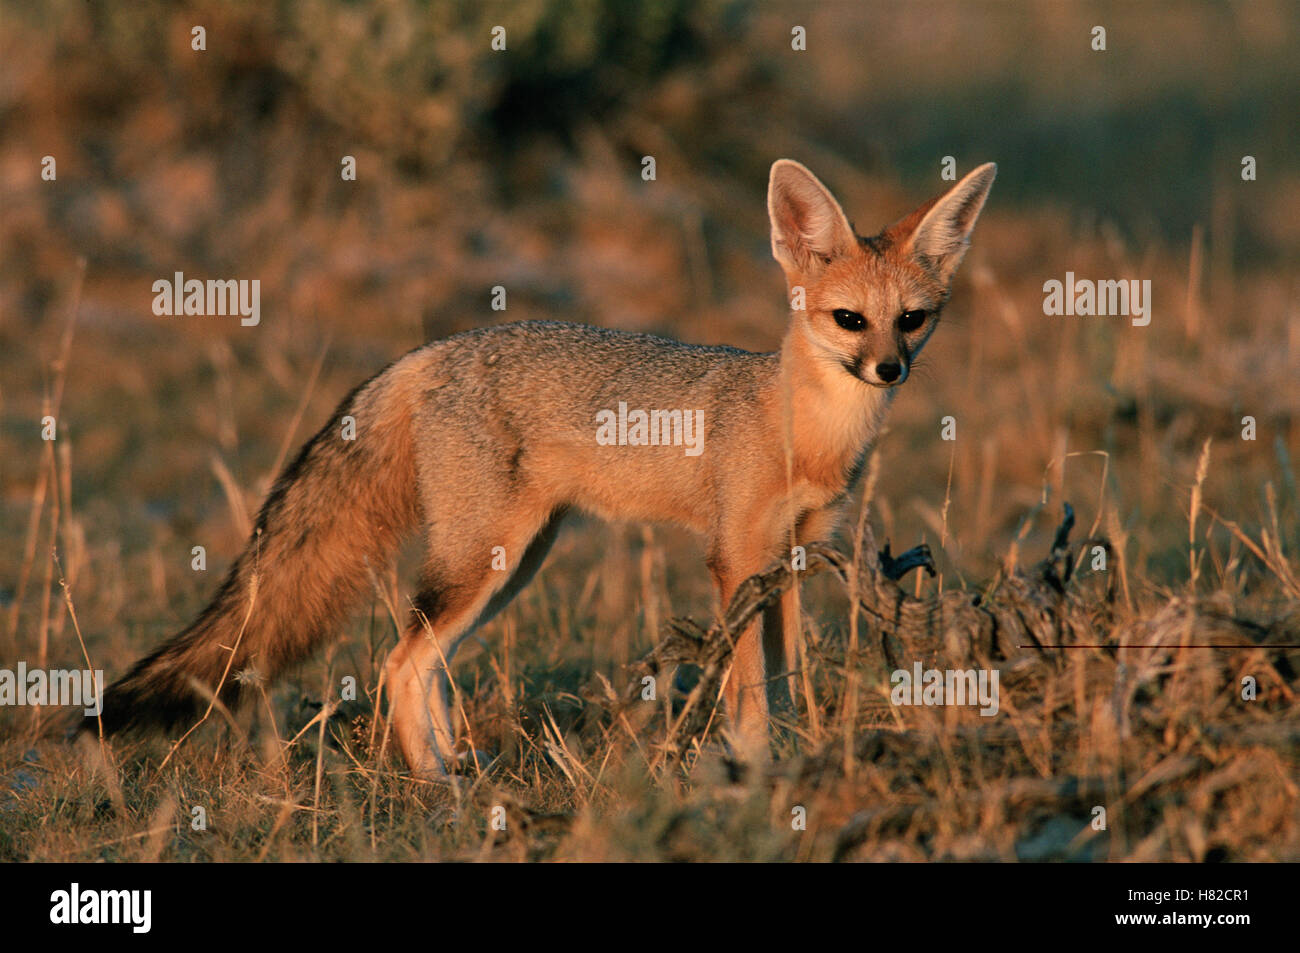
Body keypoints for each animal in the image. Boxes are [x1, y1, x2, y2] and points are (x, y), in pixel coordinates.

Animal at [88, 159, 996, 777]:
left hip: (515, 562)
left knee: (425, 659)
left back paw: (456, 762)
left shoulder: (795, 557)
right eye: (849, 320)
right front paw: (753, 765)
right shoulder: (737, 556)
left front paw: (797, 749)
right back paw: (437, 781)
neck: (801, 429)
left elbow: (786, 672)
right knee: (398, 661)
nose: (889, 370)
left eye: (912, 320)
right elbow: (745, 684)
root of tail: (432, 351)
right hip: (484, 562)